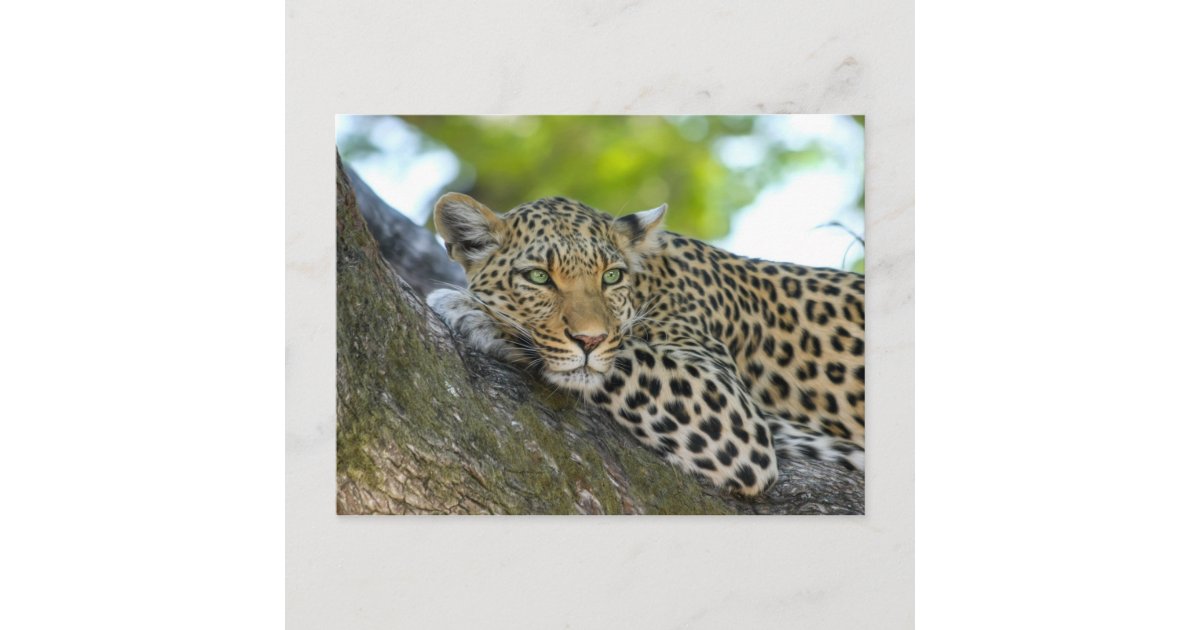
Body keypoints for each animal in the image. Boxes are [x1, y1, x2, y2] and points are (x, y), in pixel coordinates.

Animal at [425, 193, 865, 497]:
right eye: (537, 277)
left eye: (611, 276)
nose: (589, 339)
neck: (650, 282)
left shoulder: (732, 412)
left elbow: (623, 355)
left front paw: (474, 312)